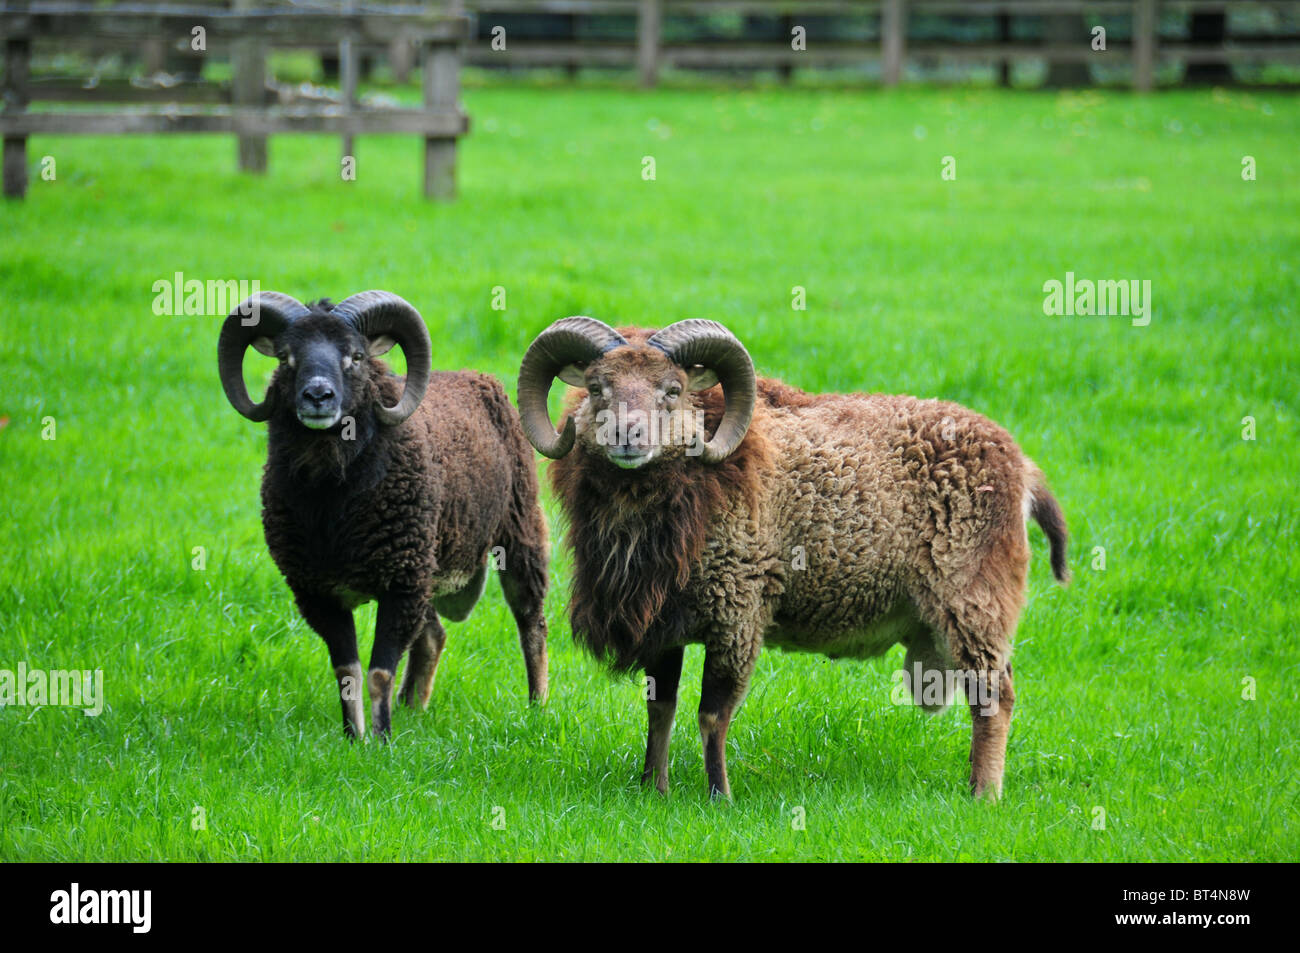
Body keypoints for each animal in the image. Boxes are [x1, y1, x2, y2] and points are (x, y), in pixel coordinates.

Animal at [218, 290, 550, 739]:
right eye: (286, 357)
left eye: (355, 356)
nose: (318, 396)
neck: (333, 503)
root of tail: (479, 379)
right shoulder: (318, 592)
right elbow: (347, 672)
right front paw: (352, 738)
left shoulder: (400, 585)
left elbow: (378, 672)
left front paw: (382, 740)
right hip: (429, 565)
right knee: (433, 636)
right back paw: (412, 707)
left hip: (518, 534)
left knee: (531, 625)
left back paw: (537, 709)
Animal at [516, 317, 1068, 799]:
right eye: (596, 387)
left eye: (673, 390)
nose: (627, 437)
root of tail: (1020, 464)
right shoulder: (662, 621)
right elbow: (661, 711)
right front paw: (653, 789)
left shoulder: (737, 610)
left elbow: (712, 715)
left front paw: (719, 798)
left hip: (973, 600)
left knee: (995, 697)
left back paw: (984, 795)